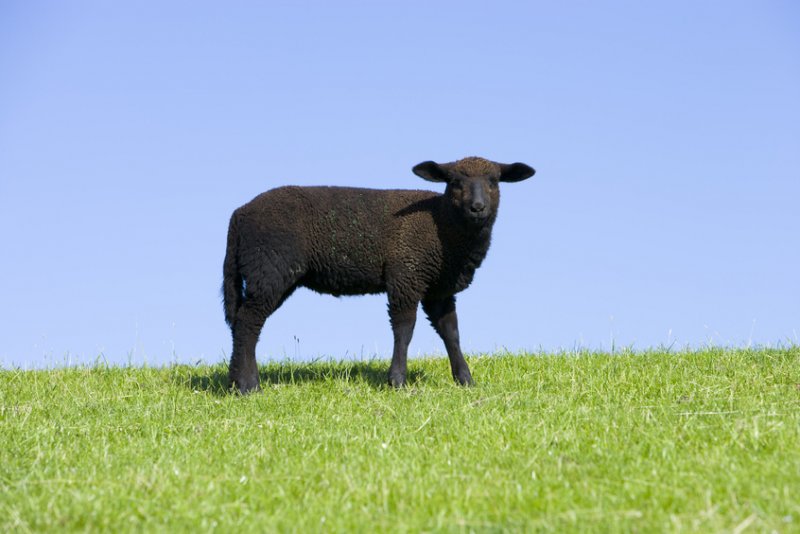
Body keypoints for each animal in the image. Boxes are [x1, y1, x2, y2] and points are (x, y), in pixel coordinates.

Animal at [222, 156, 535, 394]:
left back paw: (235, 381)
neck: (442, 224)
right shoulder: (406, 275)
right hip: (269, 267)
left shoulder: (438, 289)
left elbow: (451, 332)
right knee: (248, 322)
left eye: (494, 181)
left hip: (265, 272)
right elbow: (405, 330)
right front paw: (397, 380)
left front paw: (465, 380)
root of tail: (239, 215)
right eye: (454, 182)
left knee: (240, 321)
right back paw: (249, 386)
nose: (477, 208)